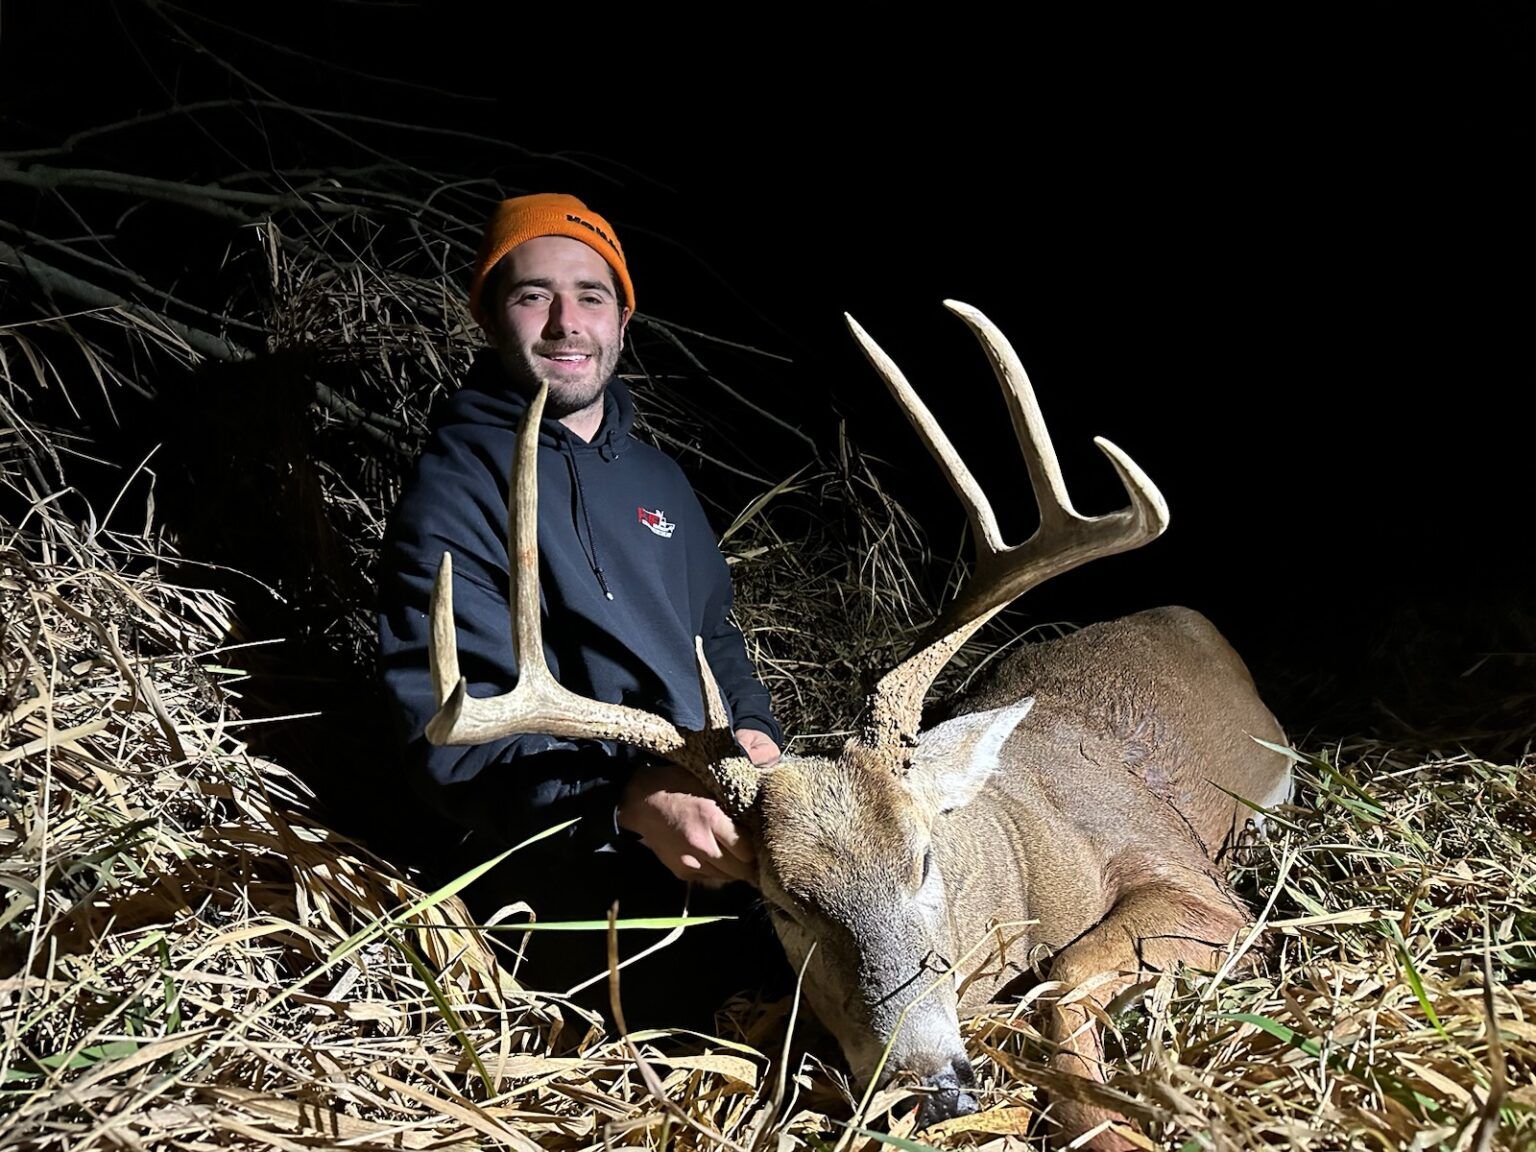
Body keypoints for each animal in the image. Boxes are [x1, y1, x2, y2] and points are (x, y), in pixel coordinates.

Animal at [423, 300, 1292, 1150]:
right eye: (784, 905)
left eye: (924, 860)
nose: (932, 1086)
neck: (1023, 853)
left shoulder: (1196, 884)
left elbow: (1068, 973)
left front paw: (1110, 1126)